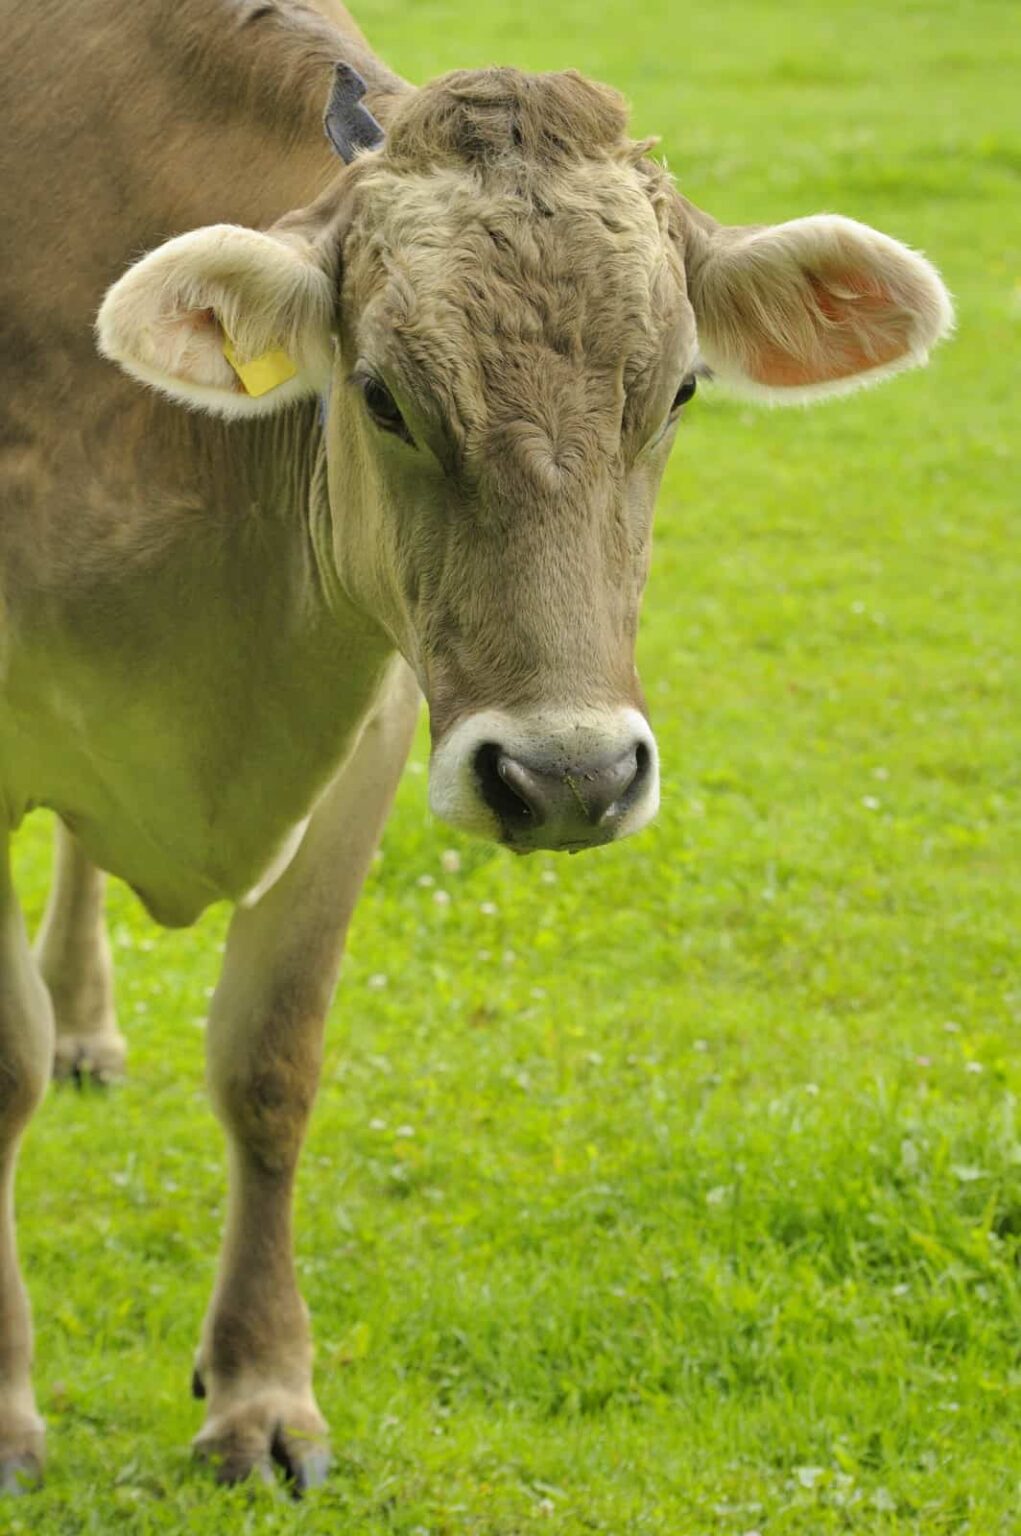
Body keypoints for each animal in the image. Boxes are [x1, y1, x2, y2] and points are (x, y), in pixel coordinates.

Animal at [0, 0, 951, 1495]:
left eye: (678, 392)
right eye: (382, 394)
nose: (570, 777)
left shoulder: (373, 721)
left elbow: (272, 1061)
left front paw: (262, 1392)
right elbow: (4, 1069)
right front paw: (7, 1412)